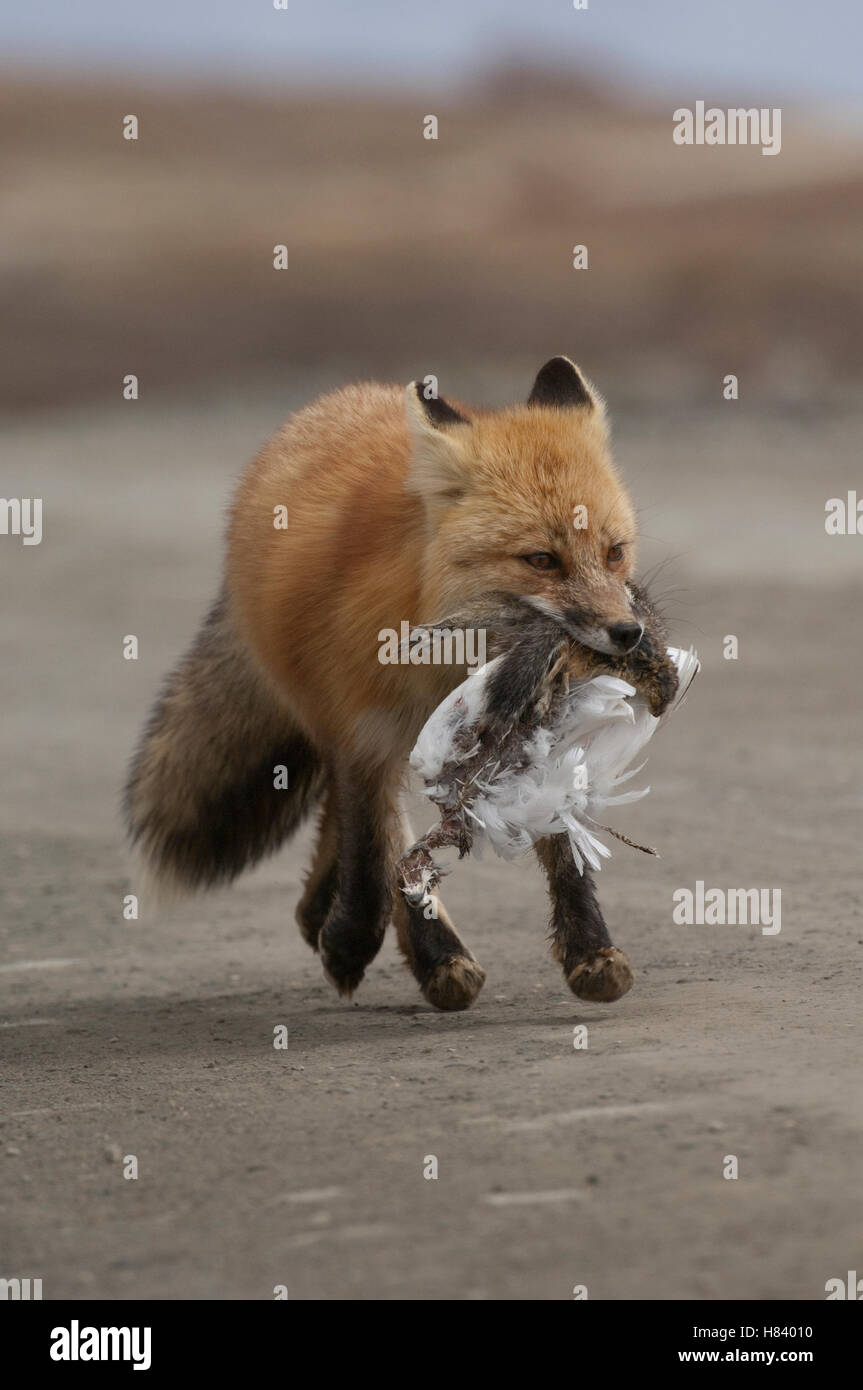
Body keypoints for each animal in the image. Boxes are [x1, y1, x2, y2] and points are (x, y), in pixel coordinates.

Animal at [125, 356, 674, 1012]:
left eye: (615, 553)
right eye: (542, 560)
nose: (630, 634)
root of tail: (341, 399)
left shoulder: (534, 734)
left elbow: (561, 846)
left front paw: (589, 949)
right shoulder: (363, 732)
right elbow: (374, 854)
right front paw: (353, 942)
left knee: (338, 817)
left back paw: (328, 914)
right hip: (339, 724)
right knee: (363, 824)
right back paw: (414, 949)